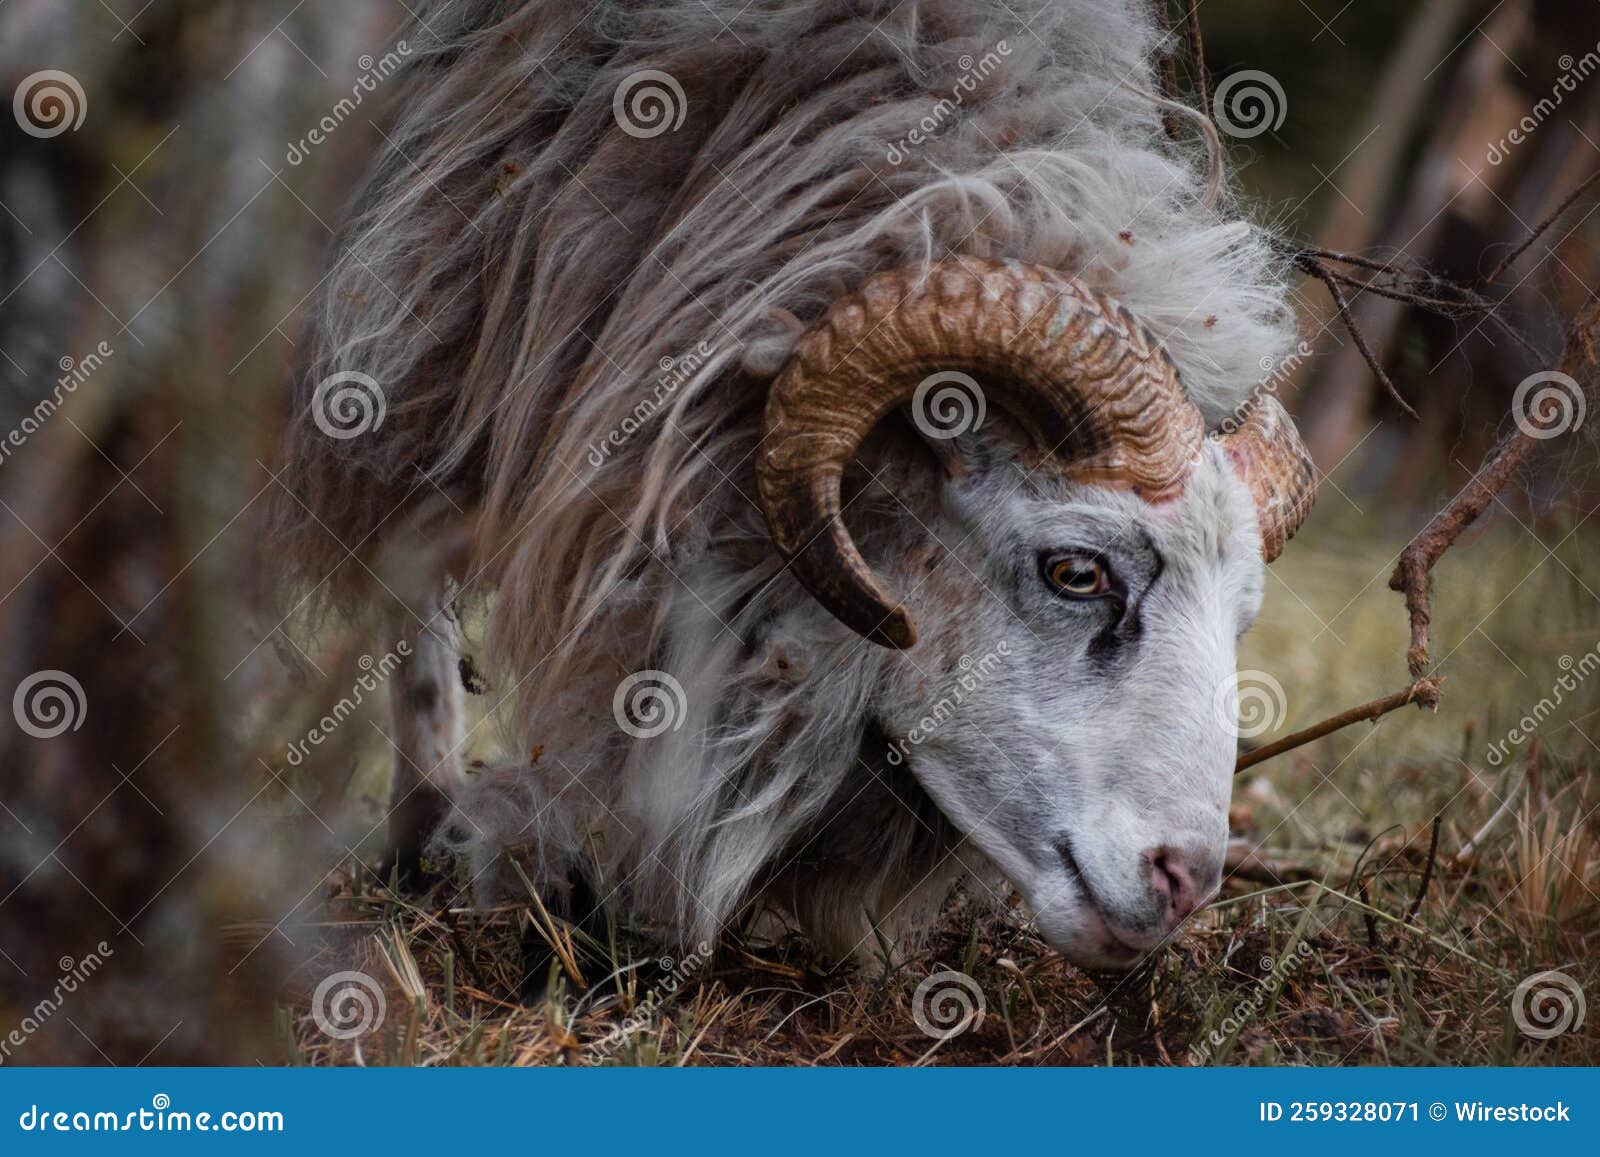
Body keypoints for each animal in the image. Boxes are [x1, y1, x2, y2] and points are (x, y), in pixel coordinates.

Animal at [268, 0, 1316, 968]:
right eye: (1076, 571)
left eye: (1243, 618)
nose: (1185, 880)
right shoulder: (403, 315)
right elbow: (408, 571)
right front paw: (433, 838)